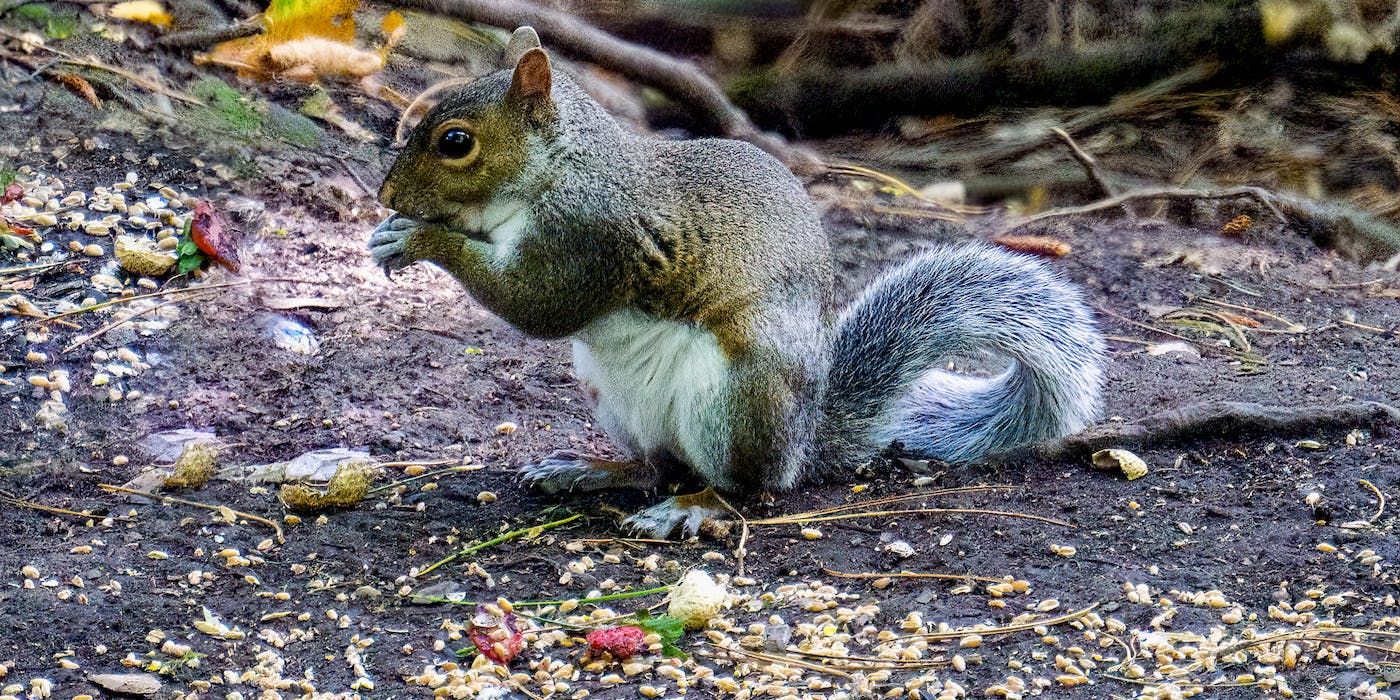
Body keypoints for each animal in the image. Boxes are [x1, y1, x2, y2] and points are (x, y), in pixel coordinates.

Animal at [371, 27, 1106, 537]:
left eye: (456, 142)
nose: (386, 195)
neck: (559, 168)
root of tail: (804, 442)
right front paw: (389, 234)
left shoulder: (591, 237)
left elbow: (540, 305)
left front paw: (419, 238)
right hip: (610, 393)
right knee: (656, 465)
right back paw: (594, 469)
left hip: (738, 396)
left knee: (747, 488)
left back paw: (694, 508)